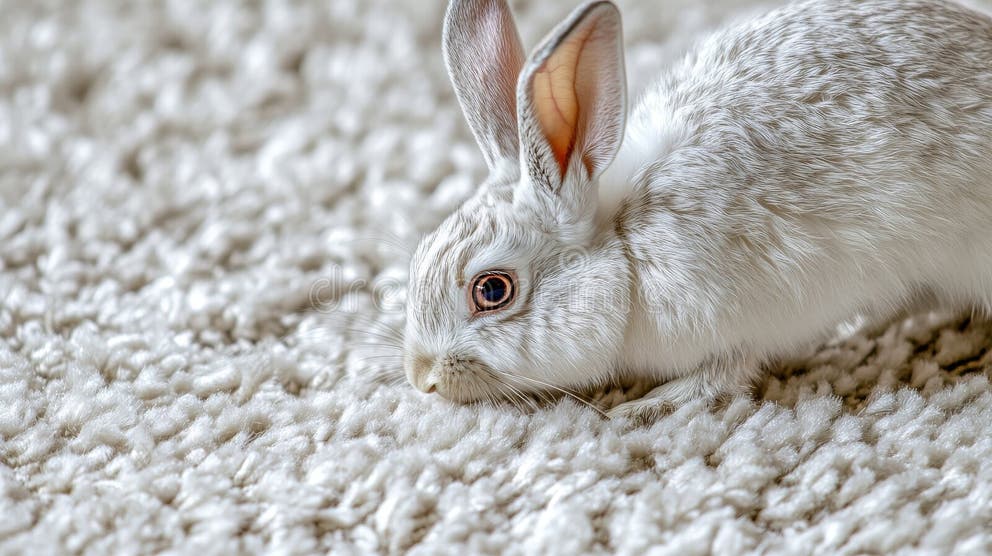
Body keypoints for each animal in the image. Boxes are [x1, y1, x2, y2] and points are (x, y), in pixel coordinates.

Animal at [403, 0, 992, 419]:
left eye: (492, 291)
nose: (421, 376)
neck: (625, 251)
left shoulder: (741, 326)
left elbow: (720, 378)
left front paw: (641, 407)